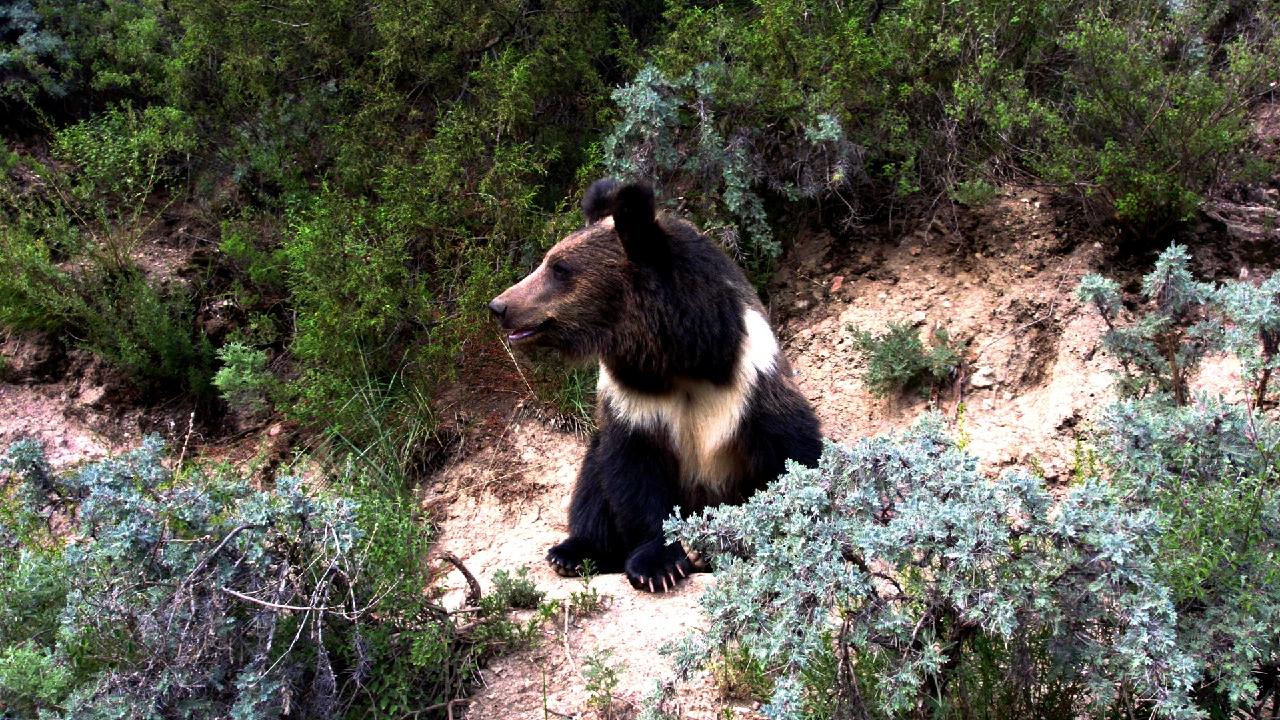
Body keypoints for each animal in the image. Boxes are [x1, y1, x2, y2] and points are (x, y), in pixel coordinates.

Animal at [489, 179, 822, 592]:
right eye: (549, 262)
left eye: (559, 269)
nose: (500, 306)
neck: (682, 358)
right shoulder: (633, 397)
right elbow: (631, 474)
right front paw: (659, 564)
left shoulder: (752, 382)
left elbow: (793, 450)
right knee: (591, 481)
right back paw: (572, 552)